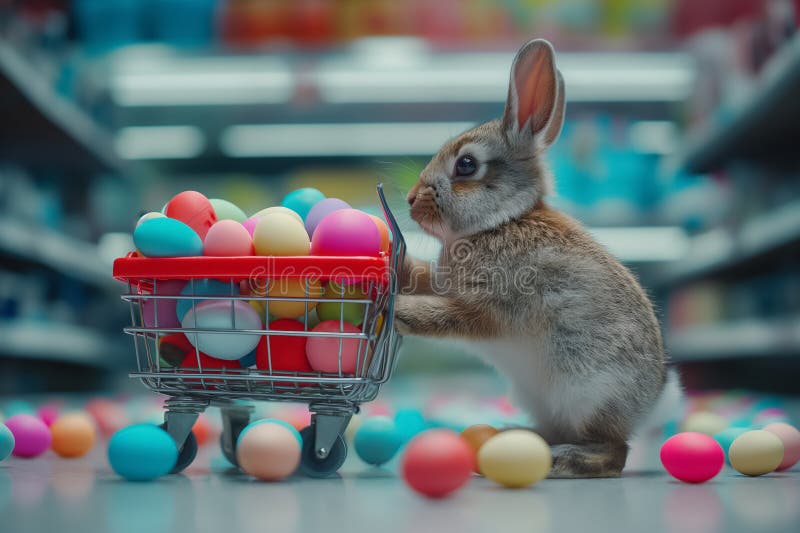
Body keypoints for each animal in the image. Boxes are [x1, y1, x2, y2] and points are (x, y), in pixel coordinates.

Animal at [394, 39, 681, 478]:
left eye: (466, 164)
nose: (410, 200)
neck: (500, 220)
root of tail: (655, 404)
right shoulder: (447, 284)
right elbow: (428, 281)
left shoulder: (494, 306)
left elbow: (447, 317)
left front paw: (398, 310)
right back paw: (512, 437)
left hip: (587, 390)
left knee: (617, 452)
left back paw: (566, 459)